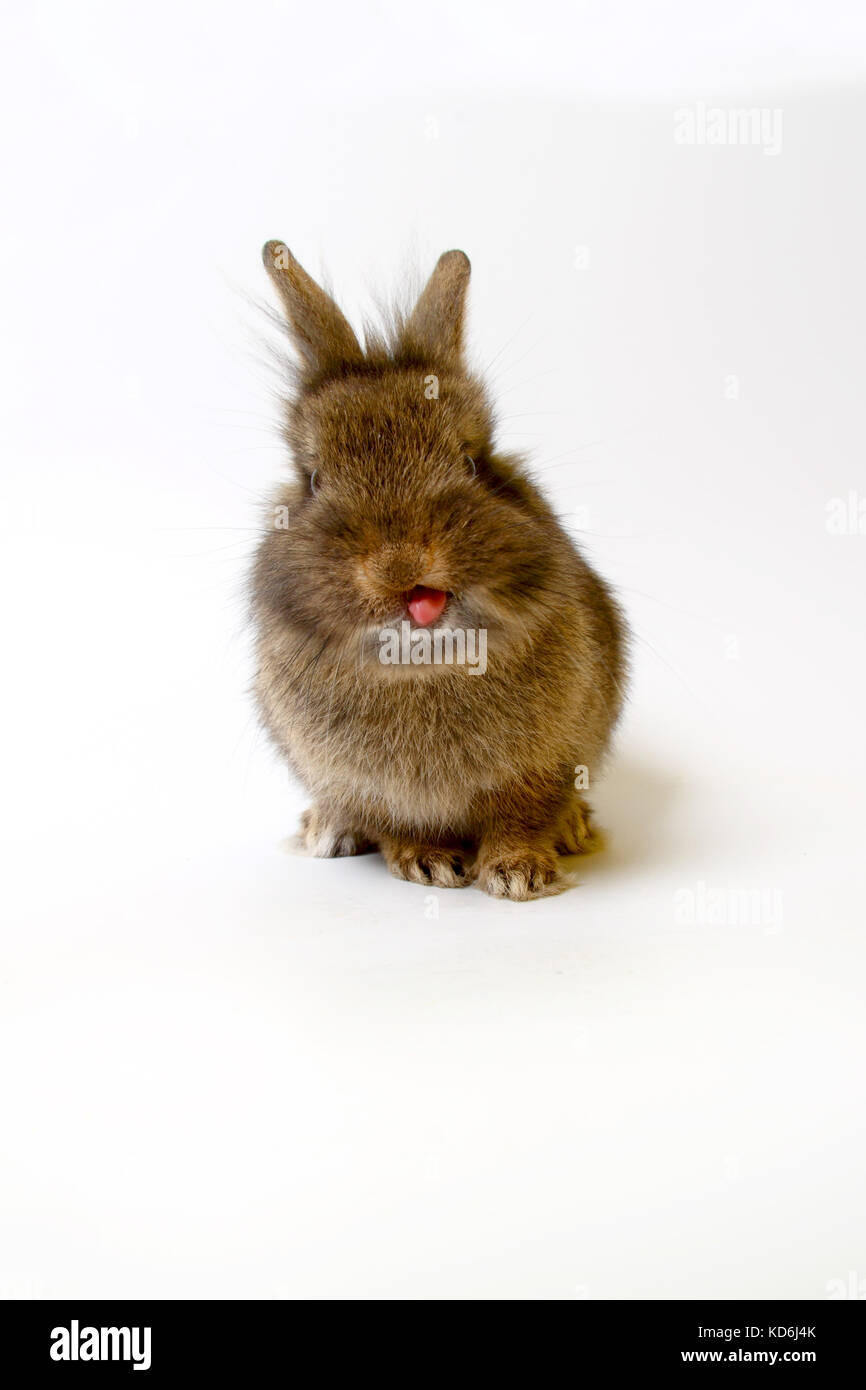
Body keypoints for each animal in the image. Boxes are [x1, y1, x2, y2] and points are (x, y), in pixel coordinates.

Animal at [252, 241, 629, 900]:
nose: (400, 564)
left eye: (472, 463)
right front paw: (428, 863)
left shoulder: (542, 769)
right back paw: (325, 831)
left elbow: (520, 818)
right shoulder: (372, 790)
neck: (423, 663)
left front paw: (519, 874)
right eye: (315, 480)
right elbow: (399, 827)